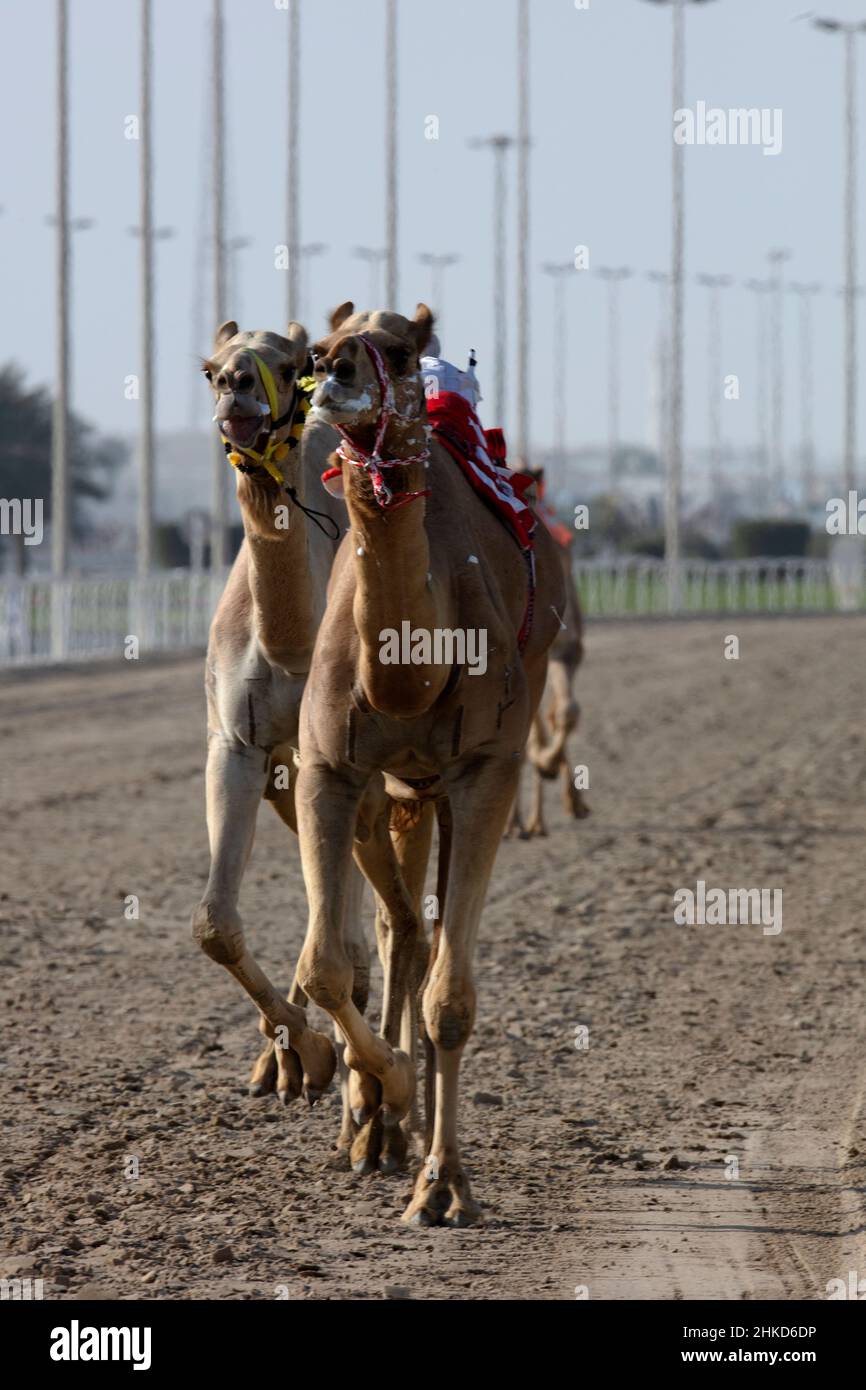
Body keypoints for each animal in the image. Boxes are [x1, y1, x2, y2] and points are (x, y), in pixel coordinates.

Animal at [279, 302, 566, 1225]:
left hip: (446, 777)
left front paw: (443, 1185)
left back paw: (405, 1140)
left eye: (399, 353)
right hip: (400, 788)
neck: (410, 667)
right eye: (319, 350)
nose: (337, 378)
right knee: (399, 931)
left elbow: (452, 999)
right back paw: (375, 1129)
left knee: (425, 938)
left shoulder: (486, 770)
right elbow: (325, 968)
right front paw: (385, 1096)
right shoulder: (330, 769)